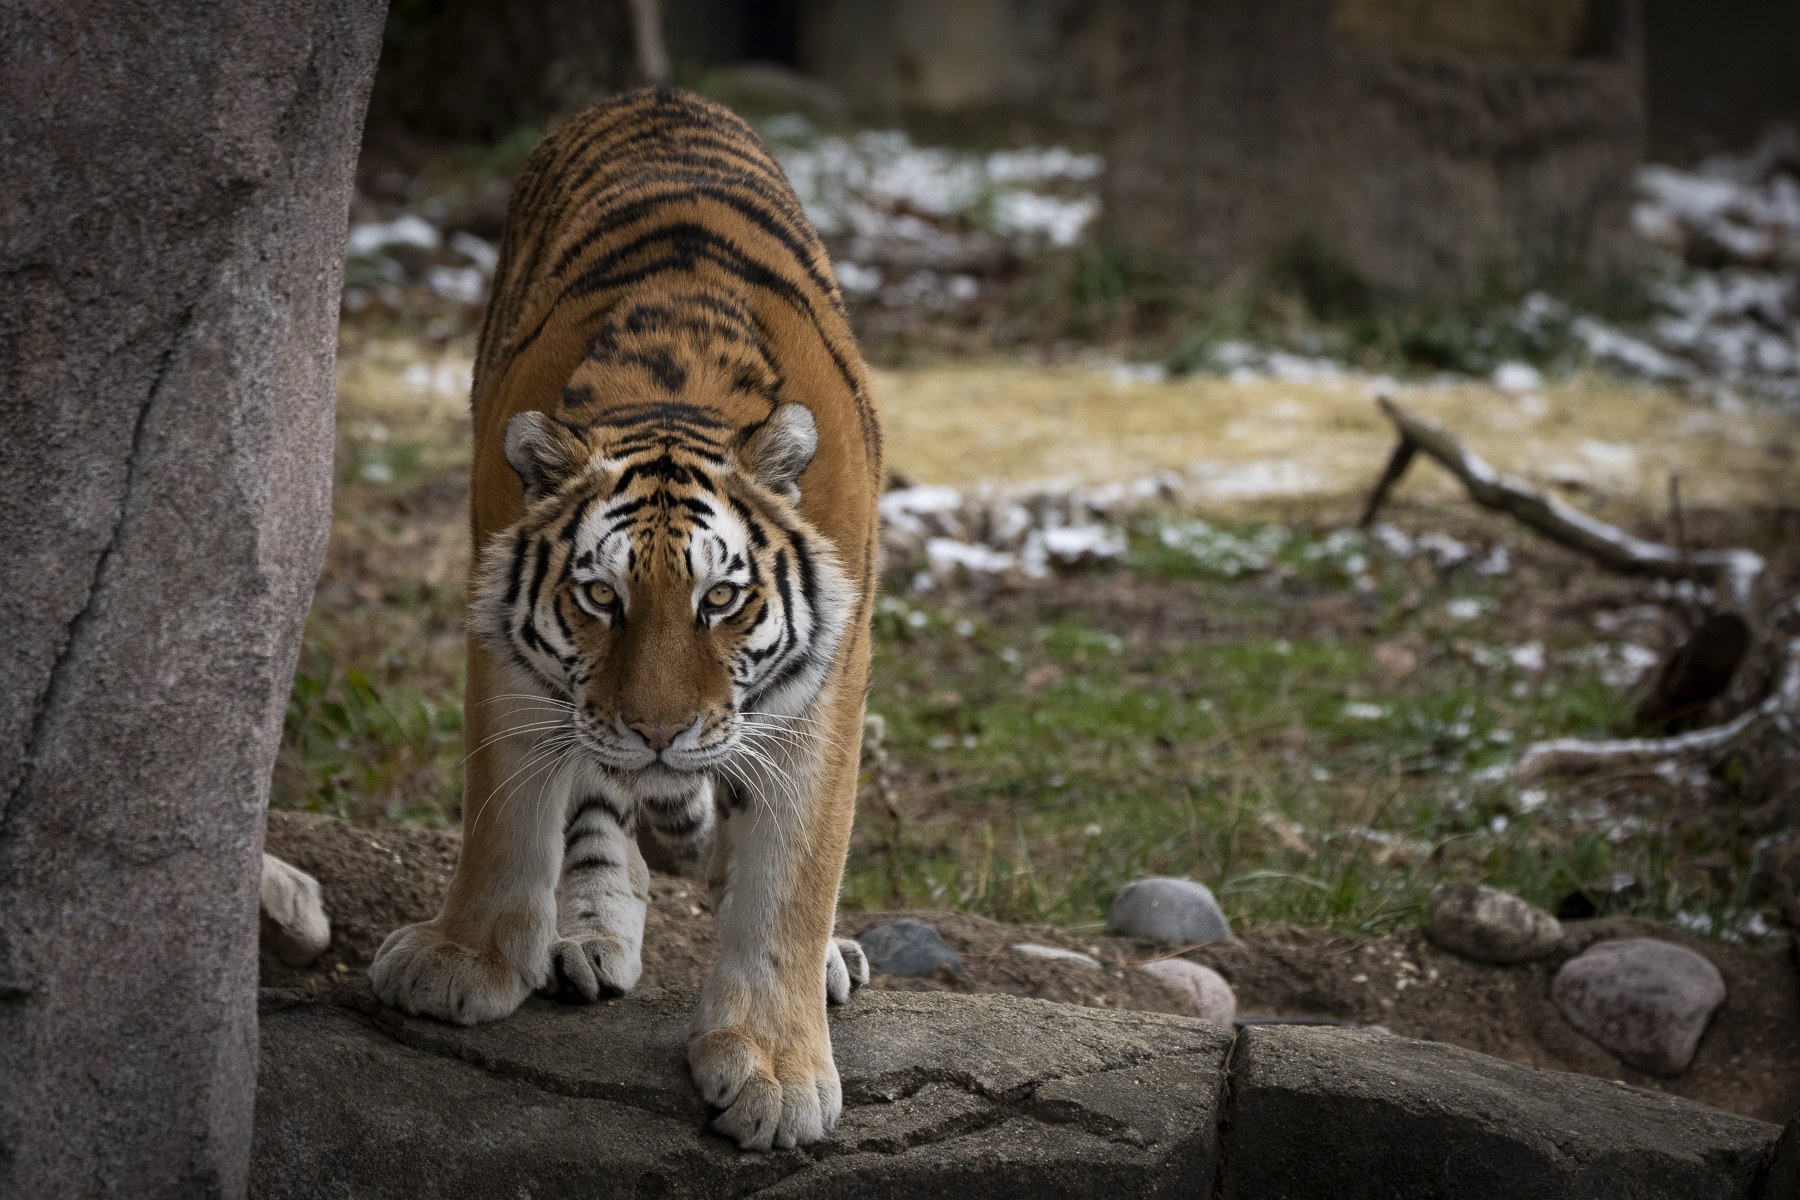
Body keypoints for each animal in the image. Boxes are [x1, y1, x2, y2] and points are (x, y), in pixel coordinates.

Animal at [368, 87, 883, 1152]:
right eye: (600, 596)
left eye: (721, 598)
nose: (657, 732)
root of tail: (658, 92)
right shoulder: (507, 644)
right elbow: (506, 811)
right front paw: (463, 960)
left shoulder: (829, 678)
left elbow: (796, 872)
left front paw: (776, 1068)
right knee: (601, 809)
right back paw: (588, 931)